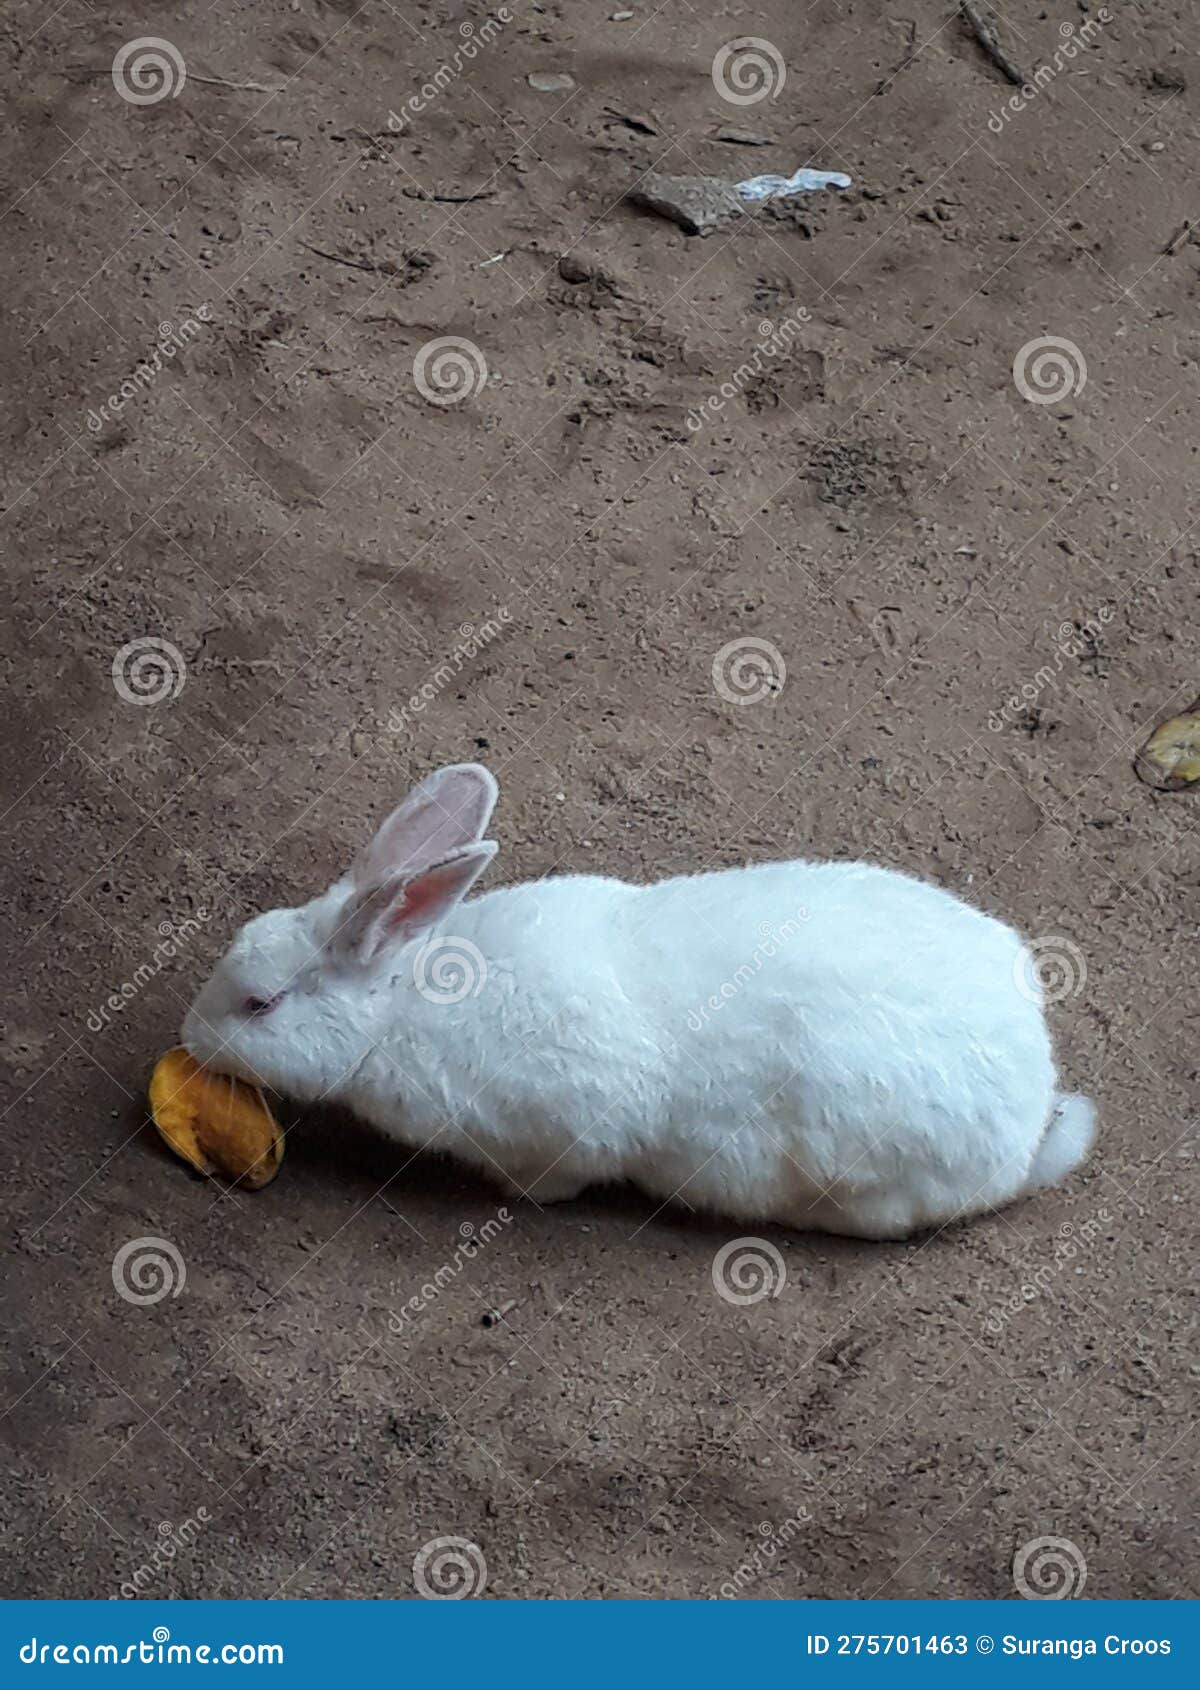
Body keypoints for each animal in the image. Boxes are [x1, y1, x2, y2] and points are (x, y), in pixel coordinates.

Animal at [181, 762, 1096, 1239]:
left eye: (259, 1005)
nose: (189, 1036)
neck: (403, 1001)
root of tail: (1028, 1118)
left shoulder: (559, 1128)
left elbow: (558, 1176)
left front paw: (517, 1198)